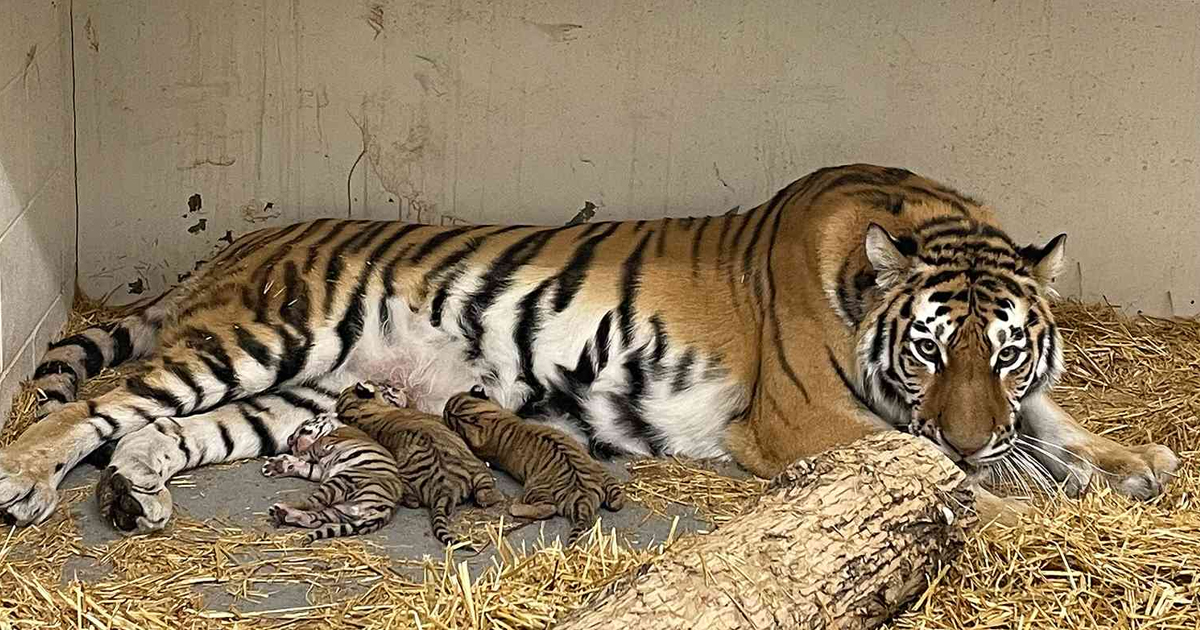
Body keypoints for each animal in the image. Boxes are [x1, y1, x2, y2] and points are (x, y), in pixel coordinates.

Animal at [261, 413, 405, 543]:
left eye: (303, 424)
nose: (289, 439)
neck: (337, 427)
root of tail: (386, 509)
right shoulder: (319, 470)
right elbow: (305, 467)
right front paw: (277, 466)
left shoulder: (321, 444)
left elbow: (303, 454)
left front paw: (279, 461)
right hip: (338, 512)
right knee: (314, 519)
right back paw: (285, 514)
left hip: (342, 480)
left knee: (312, 503)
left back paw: (280, 507)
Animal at [443, 386, 624, 545]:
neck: (478, 418)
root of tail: (584, 499)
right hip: (603, 474)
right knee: (617, 502)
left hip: (534, 489)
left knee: (548, 509)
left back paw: (515, 507)